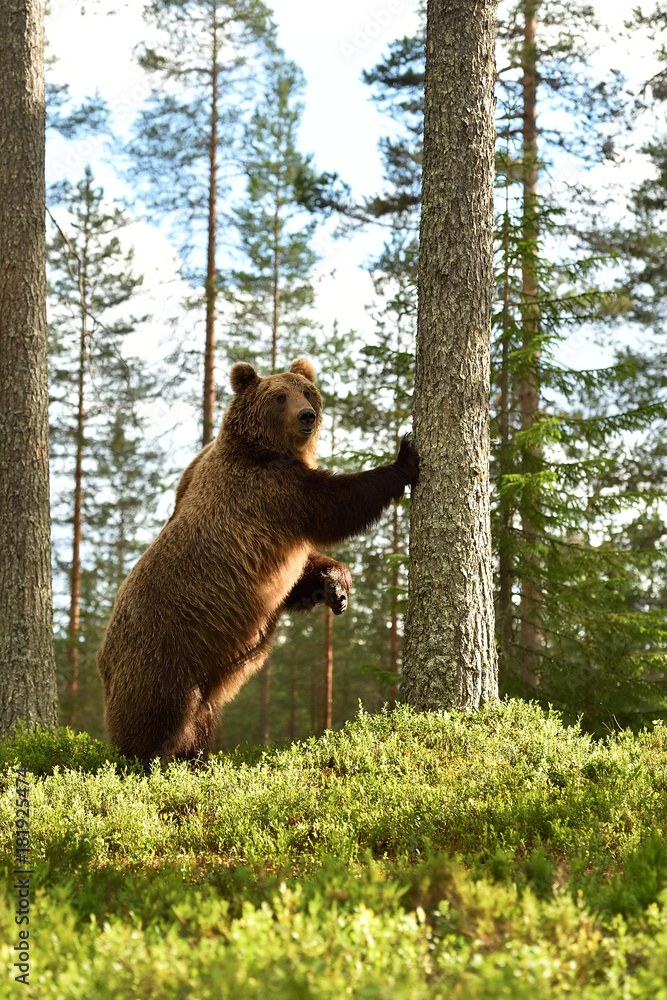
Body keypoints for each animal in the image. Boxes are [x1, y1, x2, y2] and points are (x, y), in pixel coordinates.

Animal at [97, 357, 419, 767]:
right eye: (280, 397)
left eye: (307, 391)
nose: (307, 415)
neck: (266, 449)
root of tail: (103, 660)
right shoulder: (271, 490)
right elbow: (336, 503)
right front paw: (404, 456)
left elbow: (299, 576)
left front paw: (336, 588)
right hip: (163, 654)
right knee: (156, 716)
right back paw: (145, 761)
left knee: (200, 720)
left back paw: (196, 760)